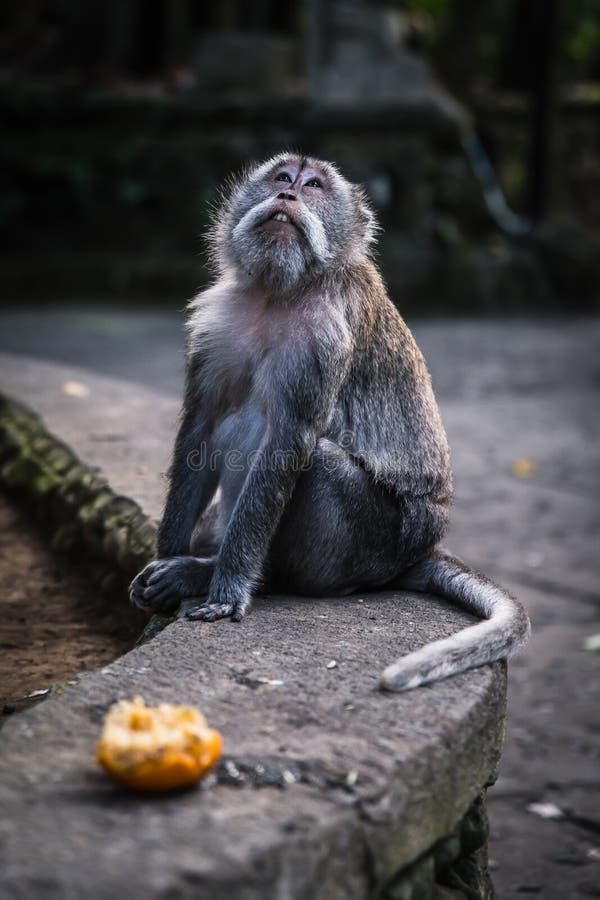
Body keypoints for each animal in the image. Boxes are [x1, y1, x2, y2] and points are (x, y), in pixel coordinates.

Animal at [129, 152, 530, 692]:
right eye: (282, 178)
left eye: (314, 186)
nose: (288, 195)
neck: (279, 291)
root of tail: (418, 552)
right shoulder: (217, 325)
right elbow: (202, 428)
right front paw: (164, 561)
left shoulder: (323, 334)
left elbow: (290, 442)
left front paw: (228, 587)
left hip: (375, 544)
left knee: (317, 459)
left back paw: (237, 575)